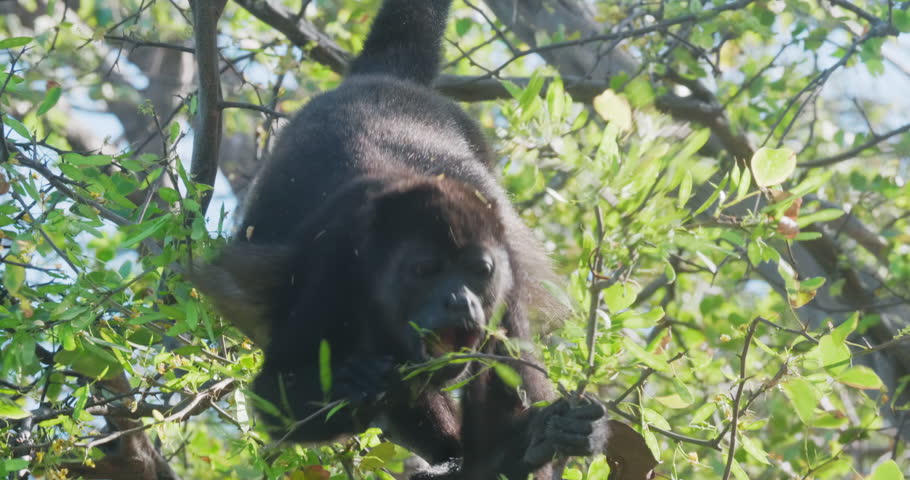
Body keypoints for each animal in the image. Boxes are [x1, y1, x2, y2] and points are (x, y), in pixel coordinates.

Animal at [194, 1, 609, 478]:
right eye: (424, 270)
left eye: (480, 270)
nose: (459, 298)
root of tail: (380, 79)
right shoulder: (329, 265)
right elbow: (273, 393)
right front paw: (352, 383)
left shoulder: (508, 277)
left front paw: (523, 444)